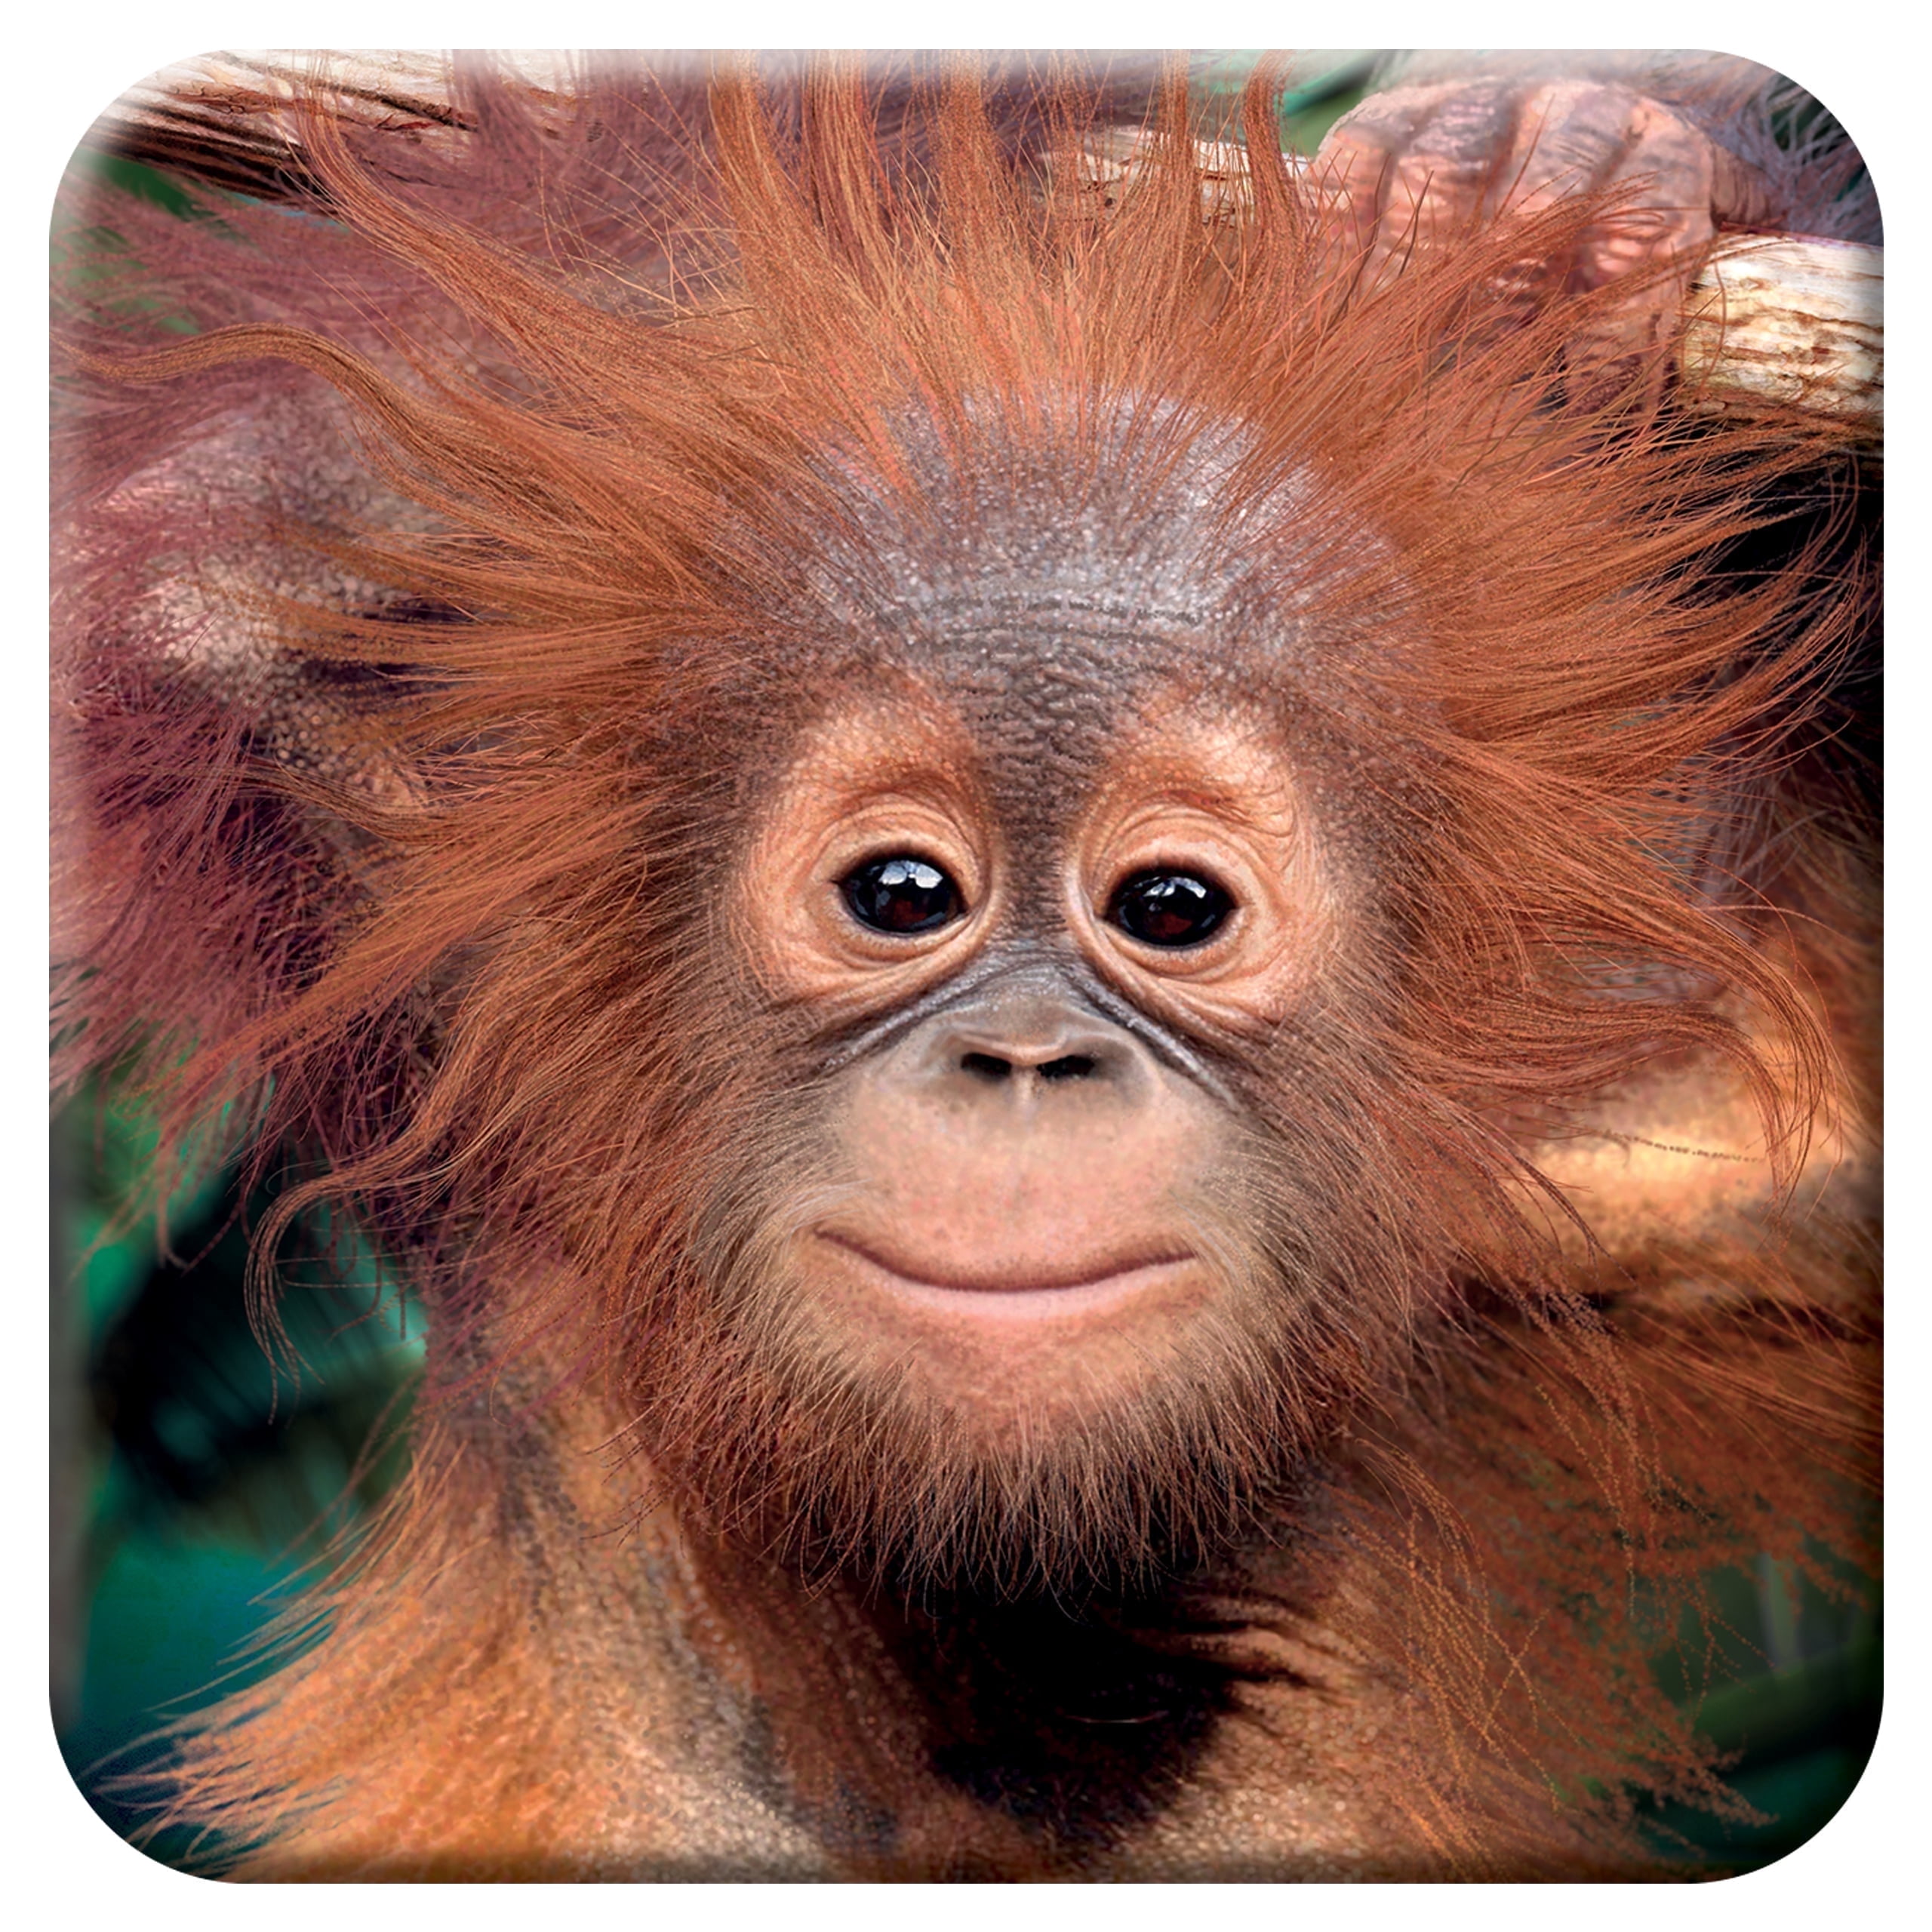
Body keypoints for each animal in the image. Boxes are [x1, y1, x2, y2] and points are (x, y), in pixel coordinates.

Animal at [52, 53, 1879, 1880]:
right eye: (901, 892)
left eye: (1169, 909)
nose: (1023, 1059)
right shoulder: (473, 1048)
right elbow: (211, 587)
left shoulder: (1560, 1222)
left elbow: (1831, 1187)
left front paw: (1575, 158)